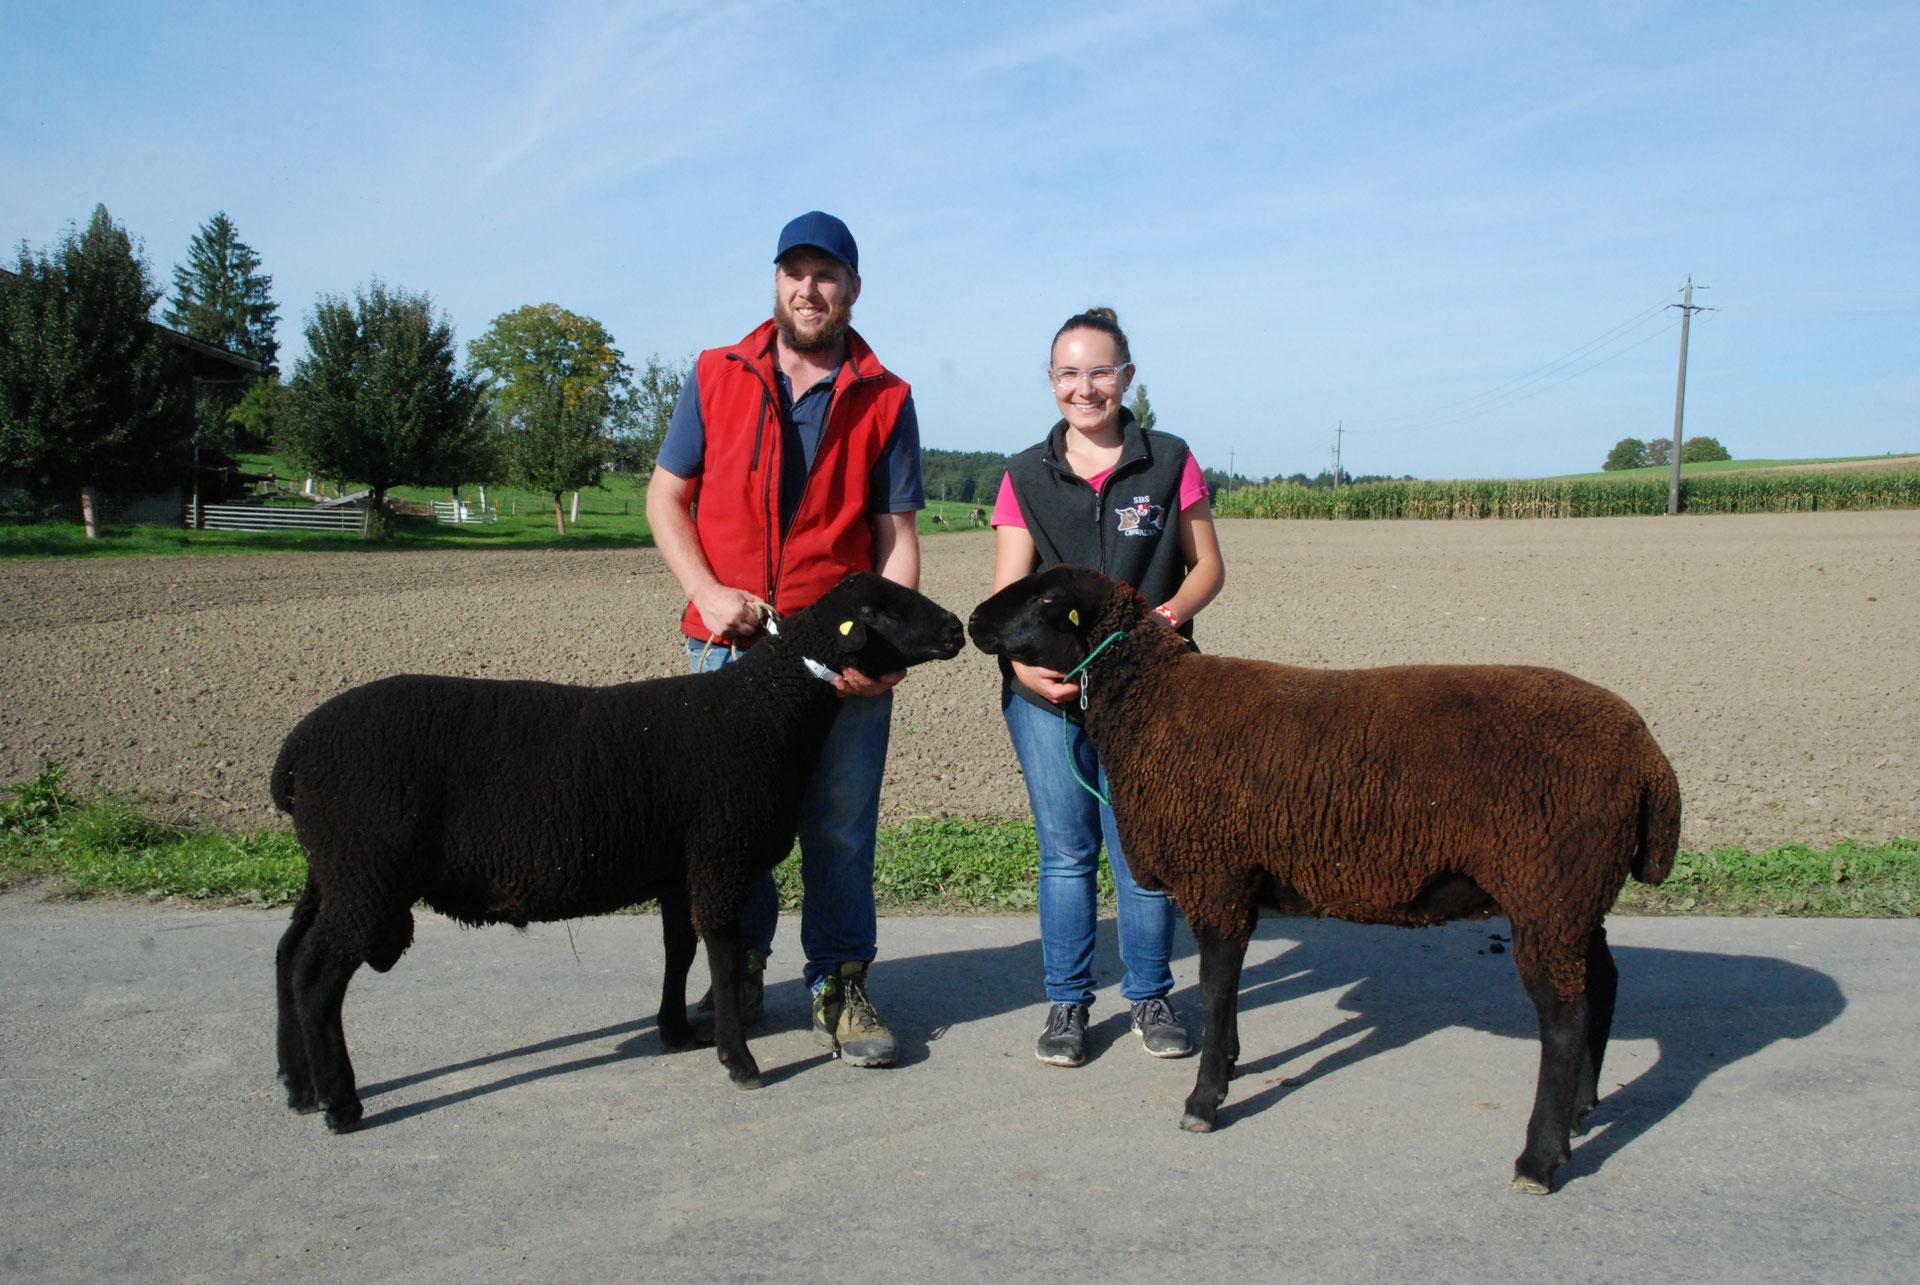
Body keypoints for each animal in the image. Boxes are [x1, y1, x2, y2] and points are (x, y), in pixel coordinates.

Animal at [271, 571, 964, 1132]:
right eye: (876, 611)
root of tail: (295, 753)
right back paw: (340, 1104)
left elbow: (678, 949)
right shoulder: (718, 856)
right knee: (318, 973)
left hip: (331, 867)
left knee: (287, 953)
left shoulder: (678, 867)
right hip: (368, 868)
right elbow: (720, 951)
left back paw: (298, 1087)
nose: (956, 628)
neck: (767, 706)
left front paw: (676, 1032)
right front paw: (737, 1060)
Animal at [968, 565, 1680, 1193]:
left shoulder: (1218, 877)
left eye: (1048, 599)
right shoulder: (1238, 883)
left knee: (1562, 1017)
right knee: (1601, 986)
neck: (1152, 704)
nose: (973, 620)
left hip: (1548, 890)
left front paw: (1205, 1100)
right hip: (1578, 896)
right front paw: (1228, 1065)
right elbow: (1226, 996)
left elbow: (1217, 991)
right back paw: (1583, 1110)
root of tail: (1650, 759)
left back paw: (1539, 1158)